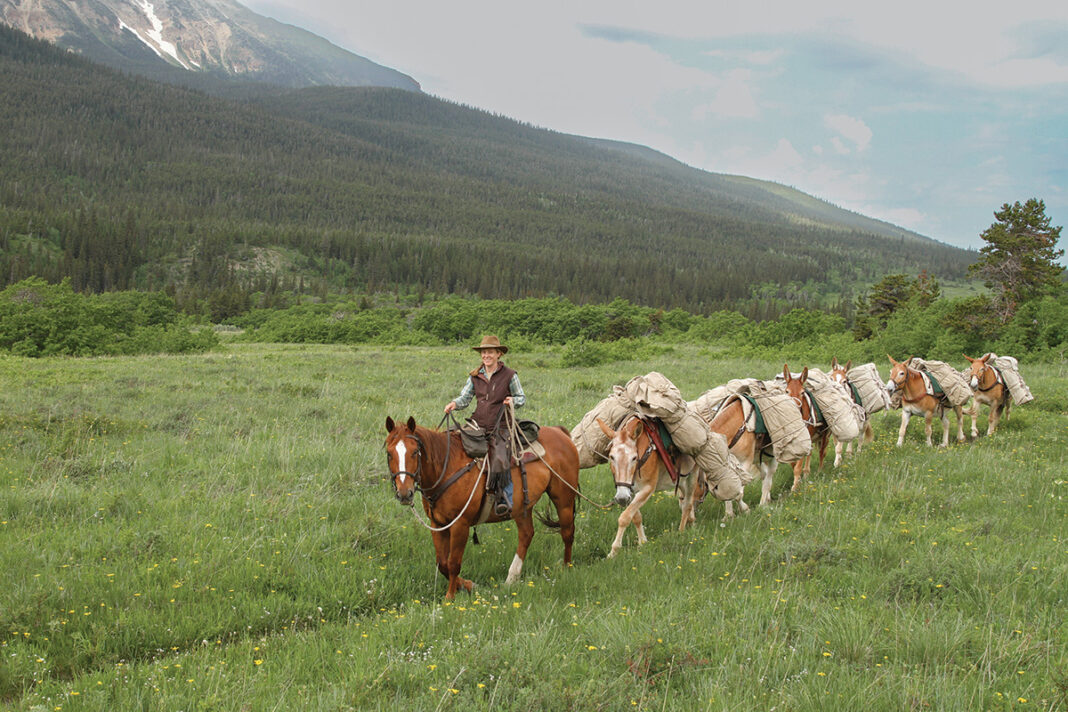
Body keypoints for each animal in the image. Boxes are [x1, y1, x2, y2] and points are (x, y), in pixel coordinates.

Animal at [385, 416, 580, 599]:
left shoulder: (460, 525)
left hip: (564, 498)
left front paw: (450, 596)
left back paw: (566, 568)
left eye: (415, 452)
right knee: (526, 534)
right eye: (389, 453)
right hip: (522, 507)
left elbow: (453, 563)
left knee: (567, 532)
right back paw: (512, 578)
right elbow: (442, 563)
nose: (404, 493)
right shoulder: (438, 524)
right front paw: (468, 585)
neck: (447, 468)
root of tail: (559, 431)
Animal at [595, 416, 703, 558]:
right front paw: (643, 542)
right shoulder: (630, 492)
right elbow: (636, 517)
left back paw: (681, 532)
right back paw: (692, 522)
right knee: (685, 500)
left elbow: (625, 517)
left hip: (692, 476)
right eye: (611, 457)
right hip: (681, 481)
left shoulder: (647, 489)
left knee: (687, 505)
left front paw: (614, 551)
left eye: (634, 458)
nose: (621, 499)